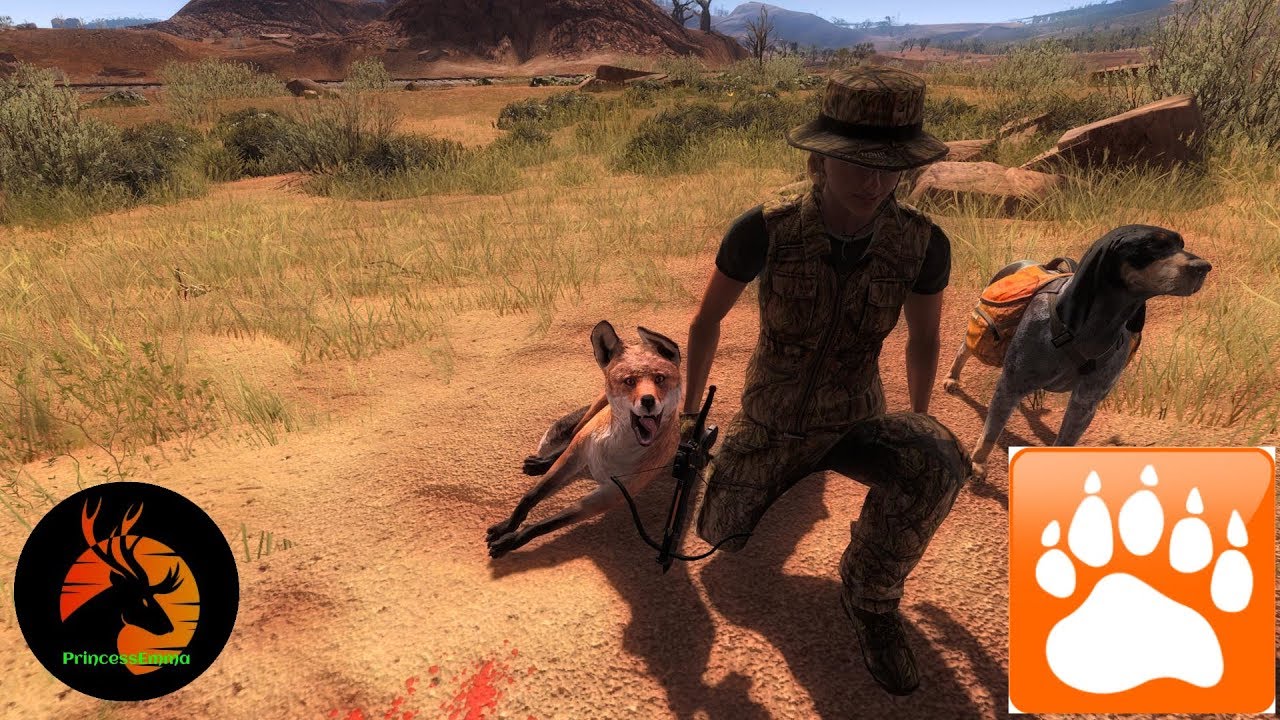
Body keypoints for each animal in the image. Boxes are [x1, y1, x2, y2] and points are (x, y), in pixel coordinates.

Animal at [486, 320, 683, 558]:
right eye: (629, 381)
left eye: (660, 378)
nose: (648, 401)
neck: (613, 449)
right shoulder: (575, 456)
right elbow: (531, 496)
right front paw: (506, 526)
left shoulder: (608, 495)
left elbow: (546, 523)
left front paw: (510, 540)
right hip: (591, 415)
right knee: (569, 438)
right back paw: (541, 463)